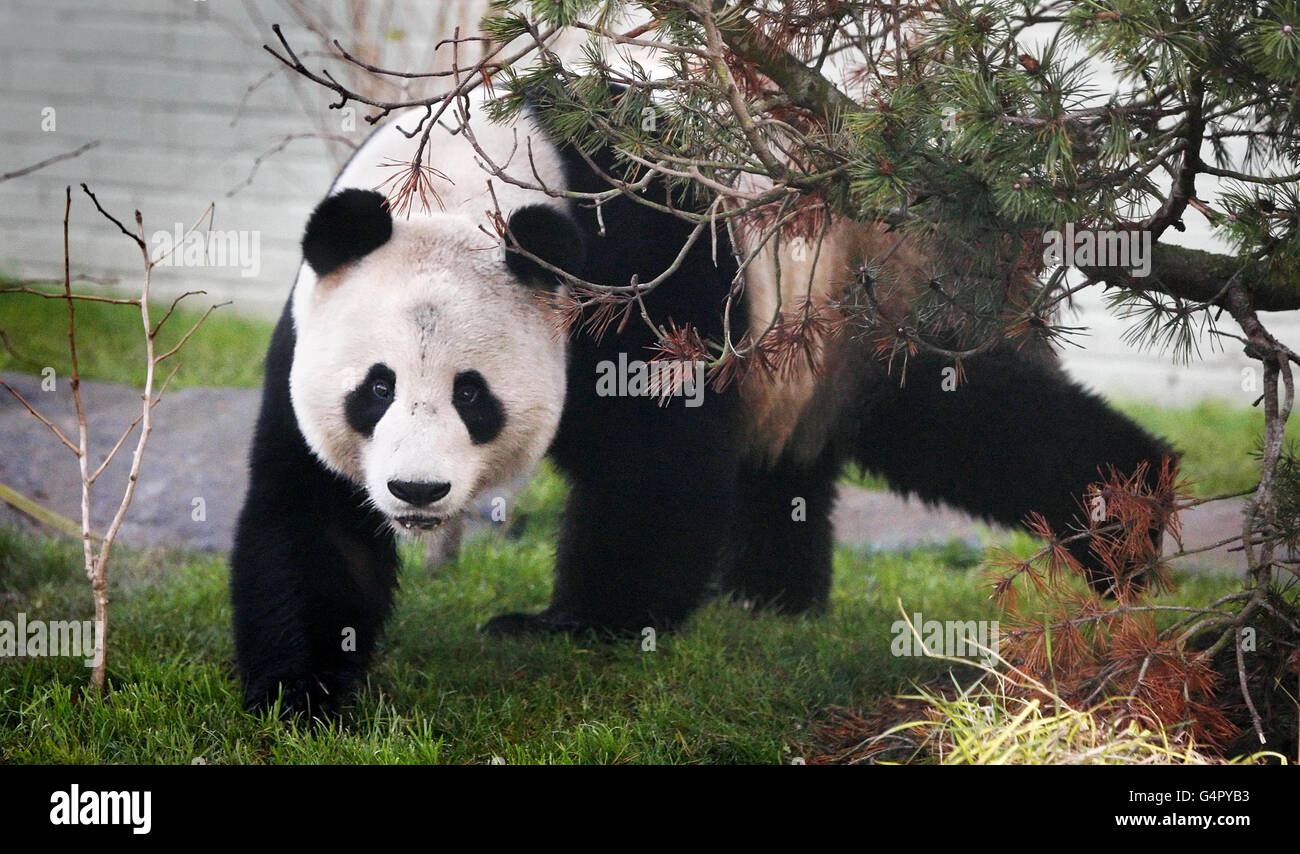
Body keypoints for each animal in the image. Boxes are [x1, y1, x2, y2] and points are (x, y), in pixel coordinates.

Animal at [230, 87, 1173, 714]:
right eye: (376, 388)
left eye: (473, 395)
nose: (417, 493)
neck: (458, 184)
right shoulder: (316, 313)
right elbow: (310, 503)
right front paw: (305, 689)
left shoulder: (635, 259)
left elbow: (654, 454)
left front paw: (577, 625)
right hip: (804, 339)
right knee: (787, 463)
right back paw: (770, 602)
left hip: (884, 297)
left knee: (969, 423)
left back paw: (1129, 517)